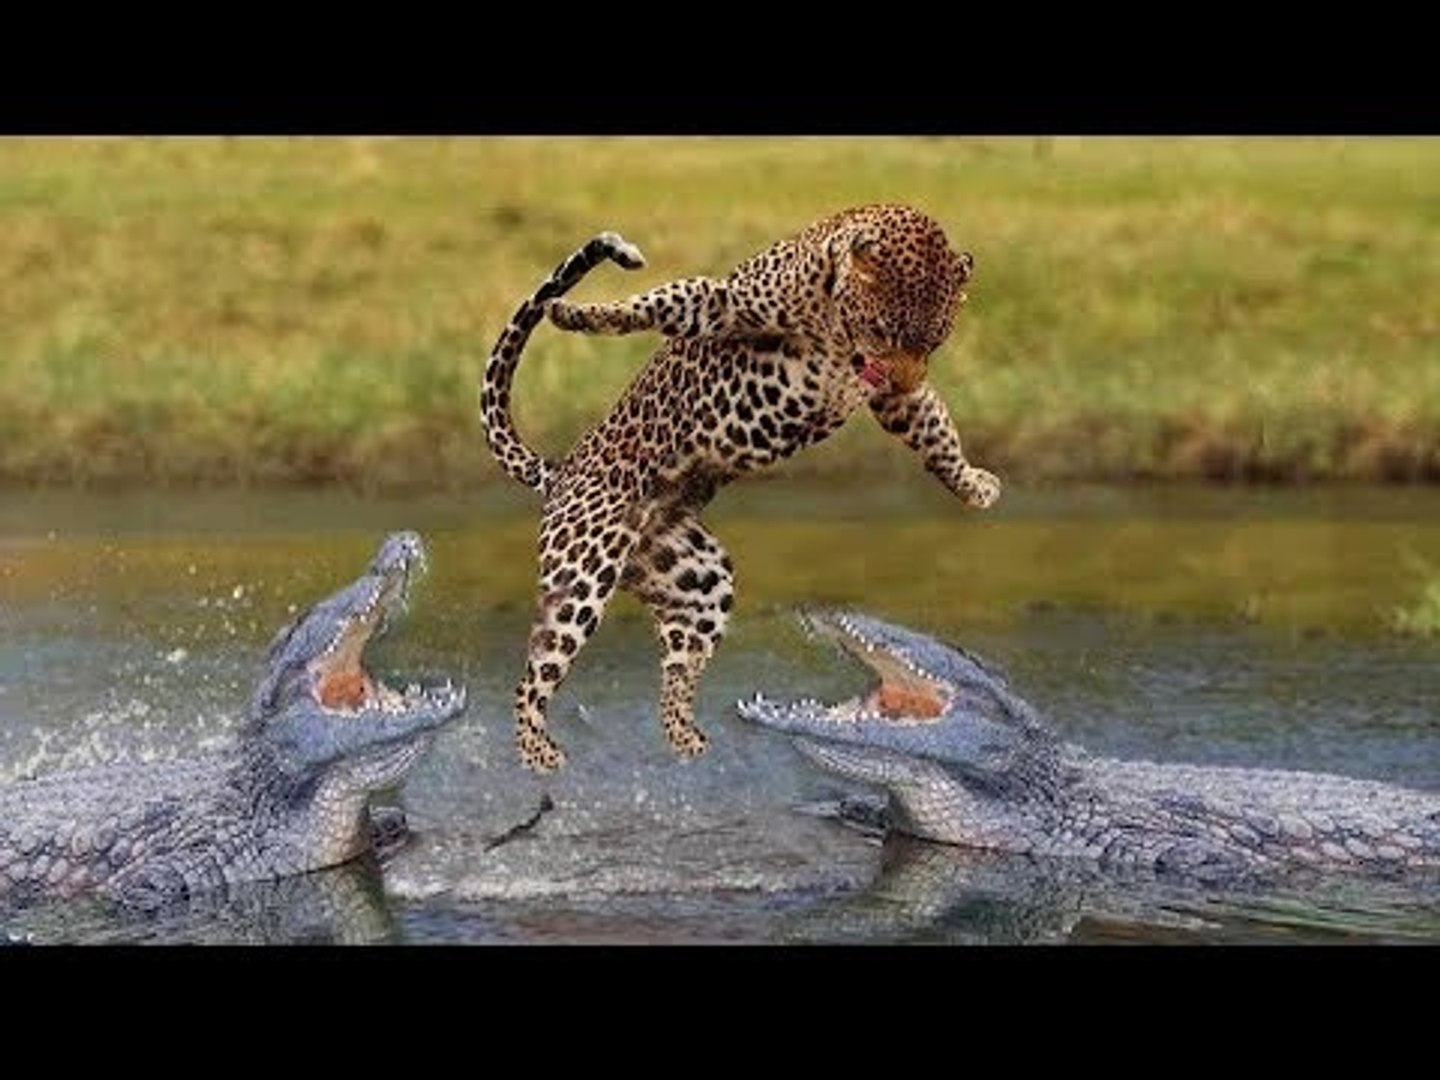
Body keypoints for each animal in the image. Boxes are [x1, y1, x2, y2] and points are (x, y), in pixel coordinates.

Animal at [479, 203, 1000, 773]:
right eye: (885, 328)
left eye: (935, 340)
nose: (900, 378)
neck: (839, 323)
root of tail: (561, 470)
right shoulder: (726, 304)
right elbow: (654, 302)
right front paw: (578, 314)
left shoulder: (893, 396)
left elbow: (935, 432)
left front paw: (973, 484)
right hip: (583, 572)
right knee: (533, 674)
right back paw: (538, 753)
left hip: (700, 579)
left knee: (677, 668)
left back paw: (687, 742)